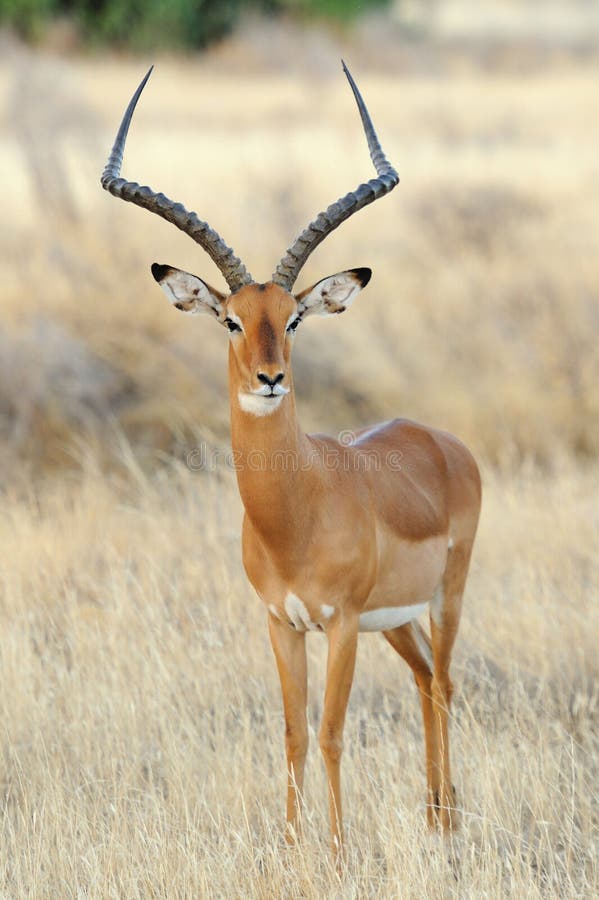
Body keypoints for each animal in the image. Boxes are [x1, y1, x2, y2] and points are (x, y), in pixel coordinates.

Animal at [102, 64, 481, 856]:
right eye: (230, 320)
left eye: (296, 318)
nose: (270, 378)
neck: (295, 513)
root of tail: (441, 440)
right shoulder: (281, 624)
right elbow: (292, 735)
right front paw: (290, 847)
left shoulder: (337, 624)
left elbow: (332, 734)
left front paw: (335, 854)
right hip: (394, 621)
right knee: (423, 682)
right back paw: (436, 815)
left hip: (444, 596)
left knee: (444, 683)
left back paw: (449, 822)